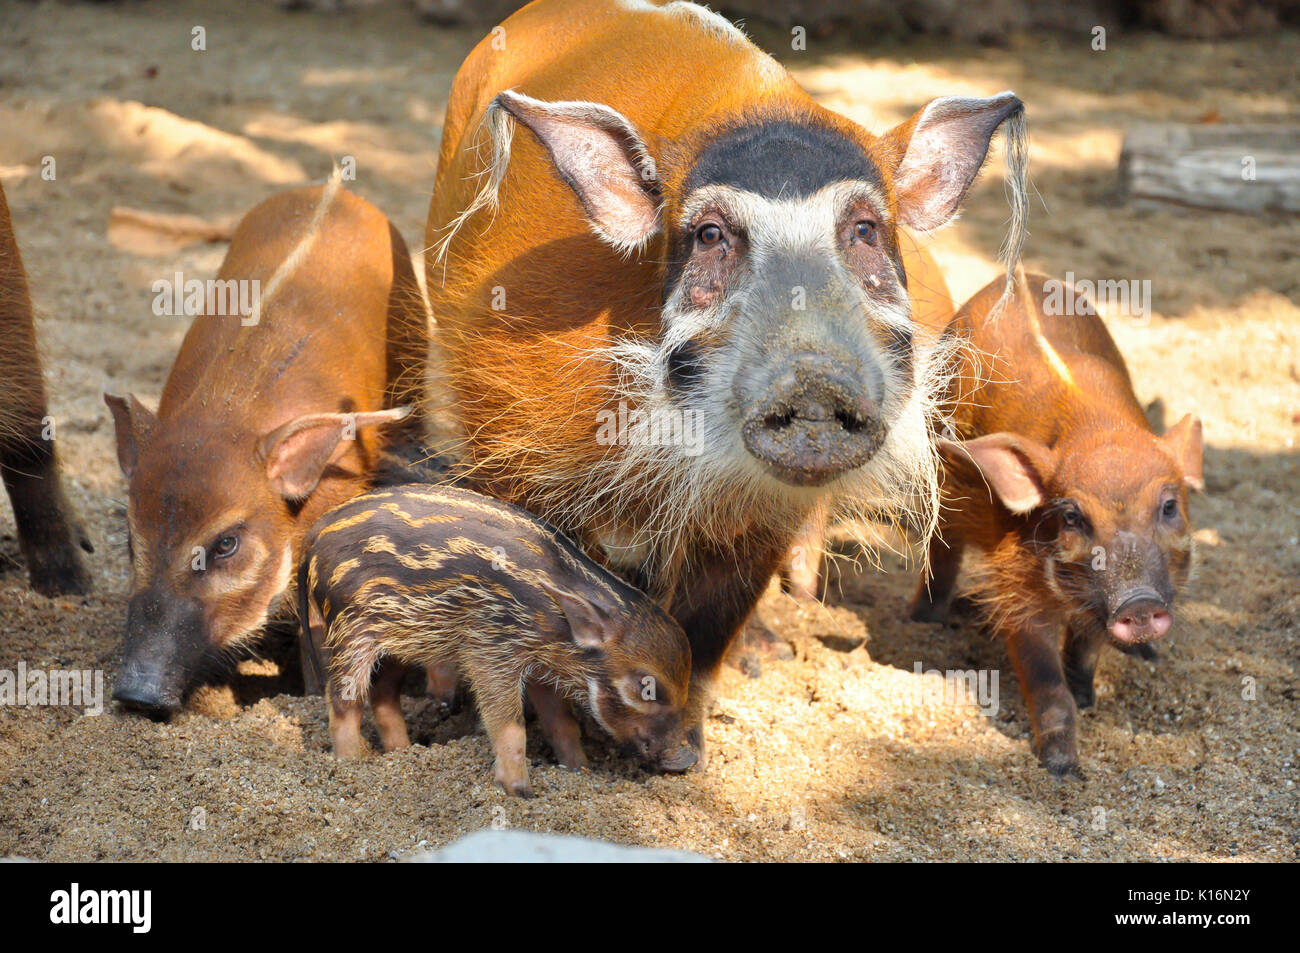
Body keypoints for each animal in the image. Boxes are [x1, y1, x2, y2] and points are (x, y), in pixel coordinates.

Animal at [299, 483, 696, 796]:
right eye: (646, 687)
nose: (687, 760)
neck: (554, 622)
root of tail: (314, 533)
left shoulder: (540, 667)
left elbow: (561, 724)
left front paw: (580, 770)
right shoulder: (490, 648)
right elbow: (510, 725)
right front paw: (520, 792)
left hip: (398, 642)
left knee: (383, 695)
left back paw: (402, 752)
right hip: (351, 631)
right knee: (343, 701)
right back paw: (355, 762)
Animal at [910, 270, 1204, 776]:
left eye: (1169, 507)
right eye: (1072, 517)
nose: (1139, 601)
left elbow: (1086, 647)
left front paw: (1088, 699)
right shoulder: (1018, 583)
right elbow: (1044, 676)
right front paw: (1061, 767)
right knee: (941, 552)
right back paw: (921, 621)